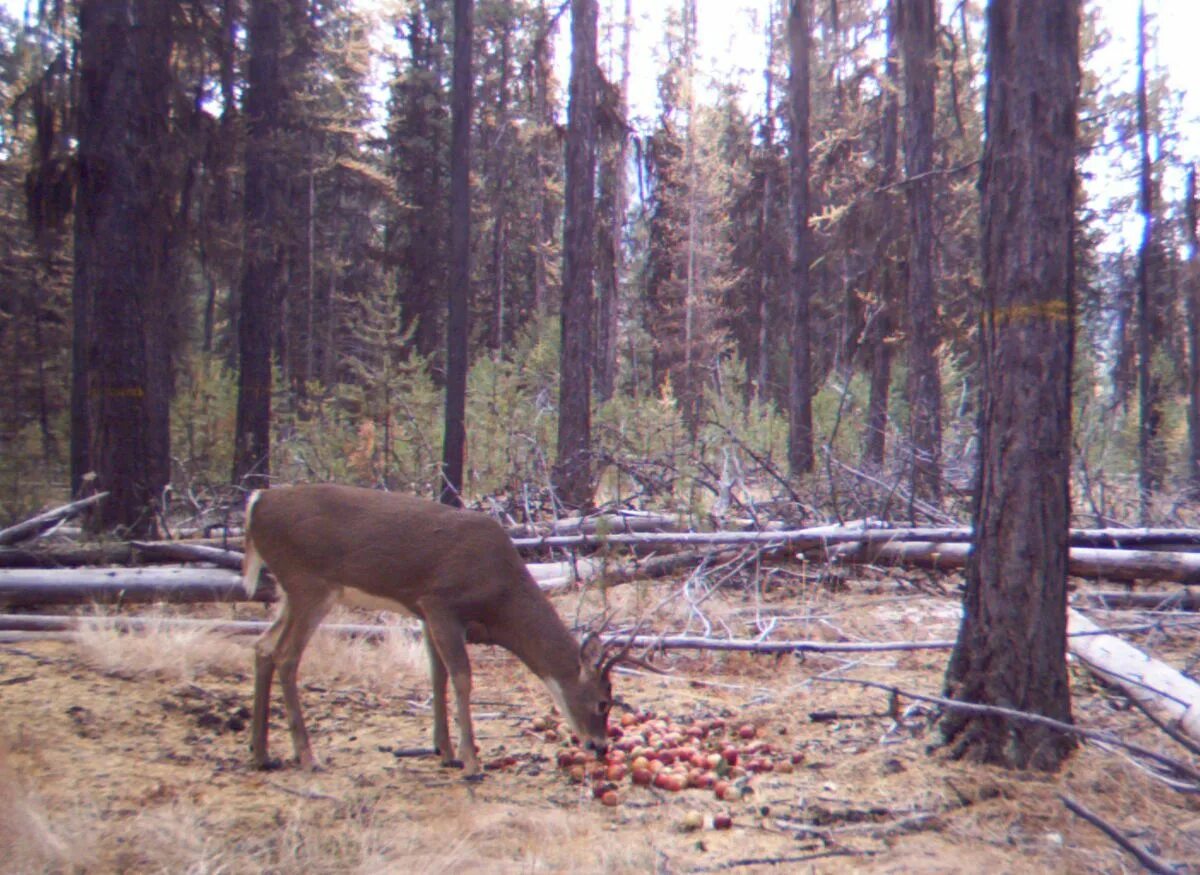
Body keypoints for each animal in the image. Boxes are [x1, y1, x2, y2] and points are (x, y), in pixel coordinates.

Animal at [244, 484, 638, 777]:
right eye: (604, 701)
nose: (600, 746)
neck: (501, 598)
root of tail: (257, 502)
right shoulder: (442, 603)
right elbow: (461, 677)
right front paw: (471, 762)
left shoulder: (423, 612)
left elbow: (438, 676)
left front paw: (445, 751)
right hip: (309, 583)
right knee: (286, 654)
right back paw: (308, 757)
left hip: (290, 590)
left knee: (263, 646)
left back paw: (263, 754)